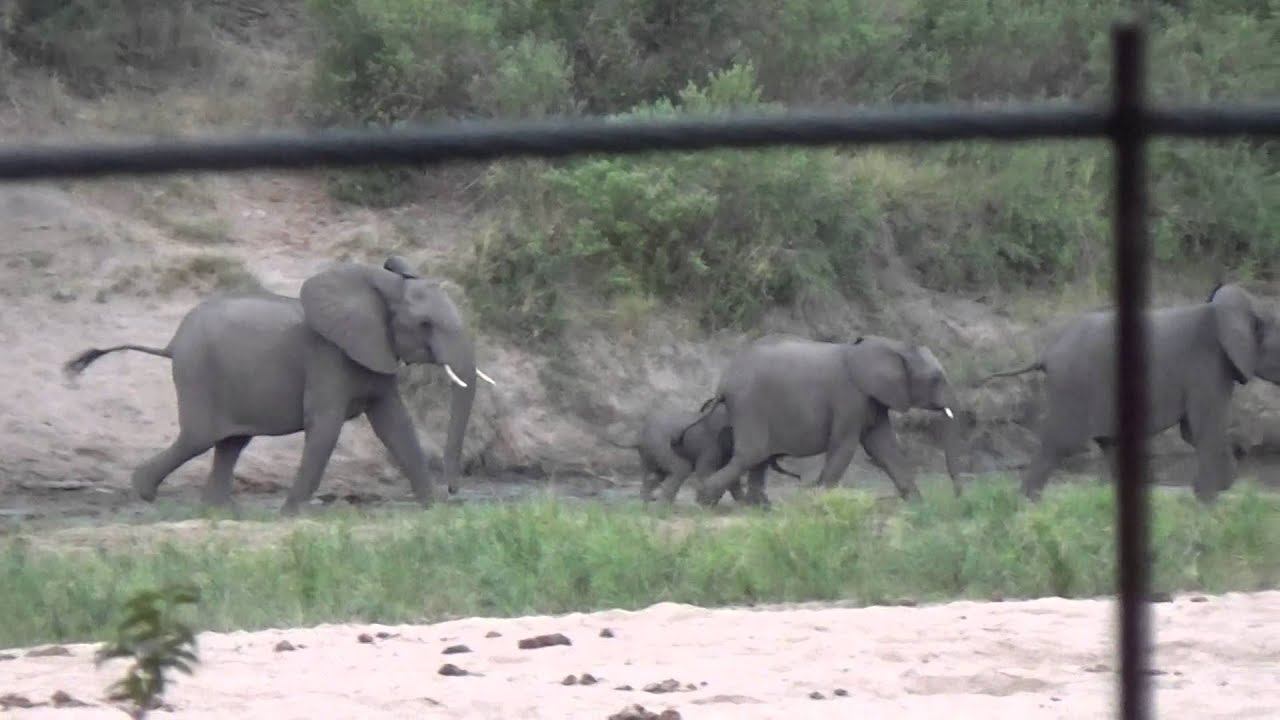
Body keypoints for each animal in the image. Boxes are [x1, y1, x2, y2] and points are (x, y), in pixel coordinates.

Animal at [62, 255, 496, 516]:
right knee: (199, 438)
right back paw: (146, 493)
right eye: (425, 324)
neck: (381, 286)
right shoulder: (328, 356)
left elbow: (395, 425)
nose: (456, 491)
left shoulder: (374, 352)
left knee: (230, 443)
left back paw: (218, 513)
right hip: (199, 373)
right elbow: (326, 427)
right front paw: (290, 515)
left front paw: (432, 508)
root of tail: (170, 344)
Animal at [606, 399, 801, 504]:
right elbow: (705, 471)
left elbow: (731, 477)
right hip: (660, 446)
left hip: (650, 453)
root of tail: (638, 437)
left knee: (654, 475)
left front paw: (742, 503)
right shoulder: (710, 445)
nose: (798, 477)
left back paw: (648, 502)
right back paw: (663, 505)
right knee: (680, 469)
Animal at [667, 334, 963, 508]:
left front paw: (918, 504)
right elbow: (845, 446)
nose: (959, 498)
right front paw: (818, 501)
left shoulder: (872, 398)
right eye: (936, 379)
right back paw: (706, 501)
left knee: (757, 458)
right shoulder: (849, 397)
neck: (888, 345)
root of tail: (724, 381)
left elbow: (884, 447)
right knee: (751, 454)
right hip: (750, 405)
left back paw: (758, 507)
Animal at [973, 282, 1280, 503]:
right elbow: (1203, 428)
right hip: (1074, 386)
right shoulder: (1208, 367)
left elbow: (1193, 431)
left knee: (1109, 444)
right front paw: (1208, 499)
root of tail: (1046, 353)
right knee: (1061, 443)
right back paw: (1028, 503)